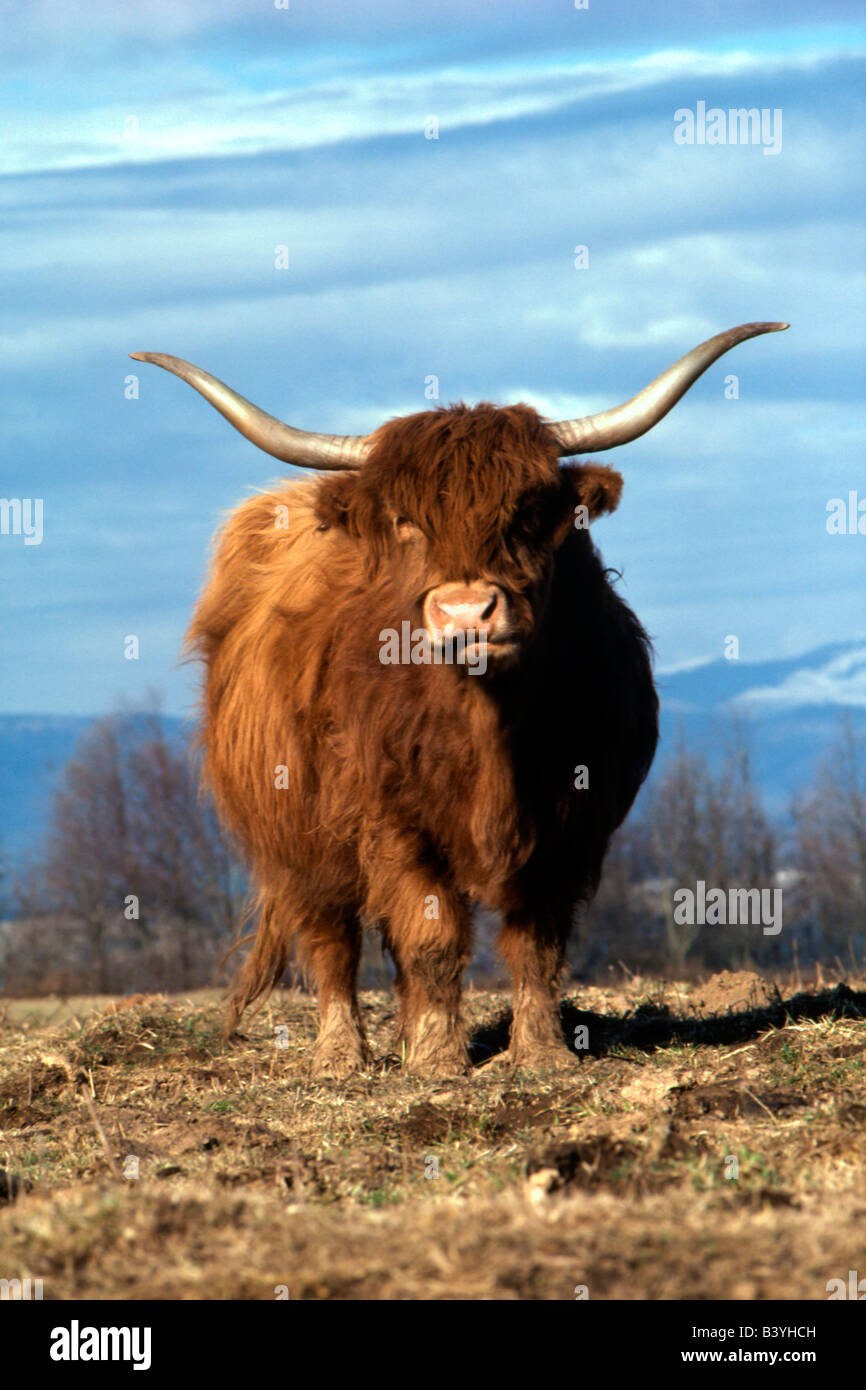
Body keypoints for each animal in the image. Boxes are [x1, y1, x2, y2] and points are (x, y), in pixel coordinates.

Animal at [130, 321, 787, 1077]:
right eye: (406, 520)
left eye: (528, 513)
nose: (467, 613)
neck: (488, 728)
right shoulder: (391, 822)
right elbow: (432, 936)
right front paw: (440, 1060)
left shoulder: (575, 823)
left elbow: (536, 941)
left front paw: (539, 1053)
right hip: (297, 835)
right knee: (330, 938)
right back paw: (341, 1055)